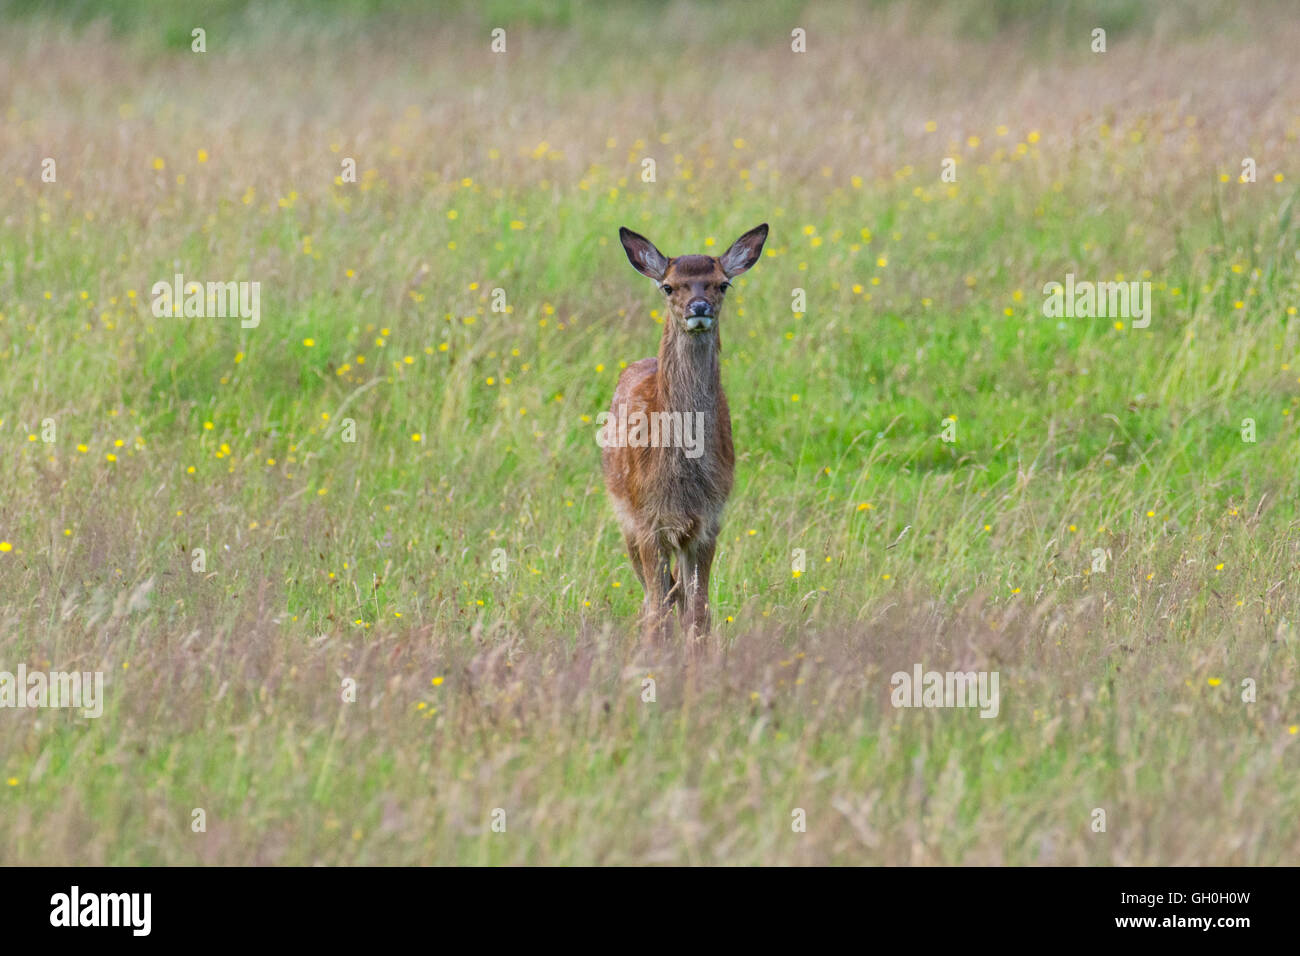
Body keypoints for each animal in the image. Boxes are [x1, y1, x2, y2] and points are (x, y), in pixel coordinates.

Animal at [601, 223, 769, 643]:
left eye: (722, 283)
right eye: (668, 286)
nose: (699, 307)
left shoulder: (709, 521)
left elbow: (700, 612)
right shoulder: (647, 519)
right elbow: (659, 610)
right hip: (625, 518)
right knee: (650, 600)